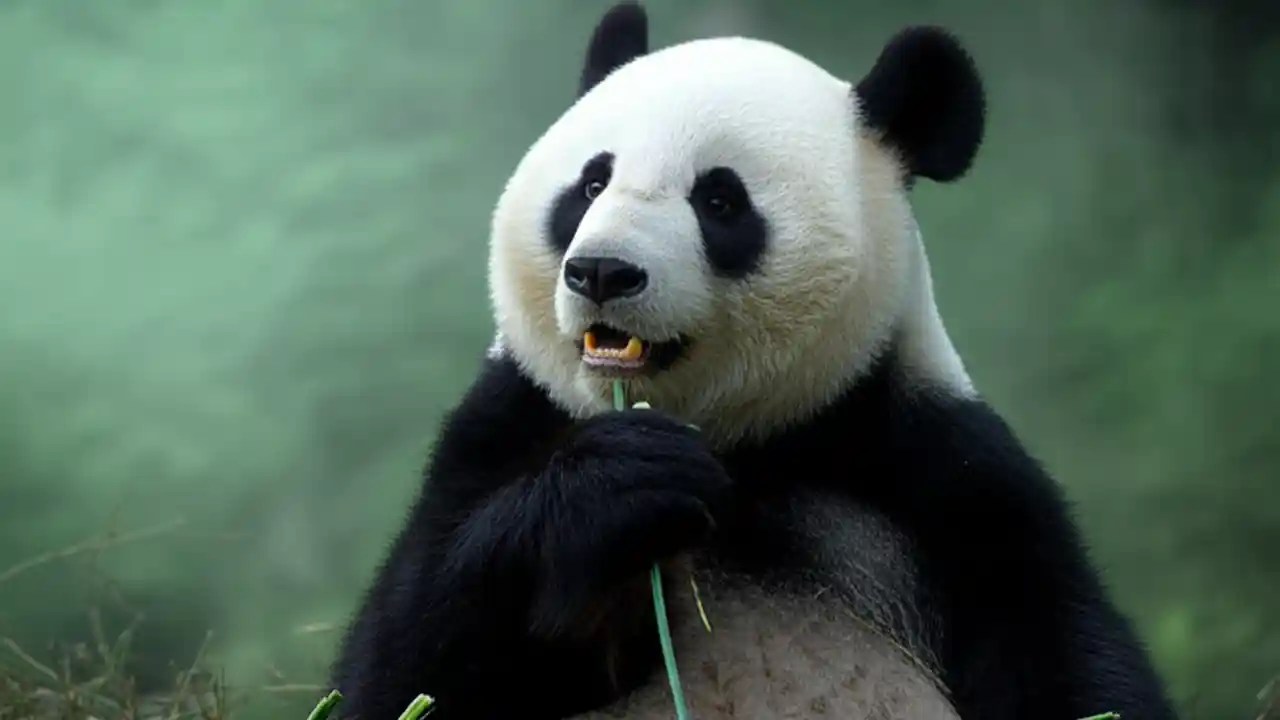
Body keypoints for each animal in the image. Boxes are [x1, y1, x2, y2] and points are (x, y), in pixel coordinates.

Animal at [330, 3, 1178, 719]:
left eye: (719, 201)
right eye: (591, 183)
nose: (602, 272)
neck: (739, 445)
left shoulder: (939, 470)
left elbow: (1065, 659)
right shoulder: (507, 422)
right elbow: (404, 664)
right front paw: (624, 482)